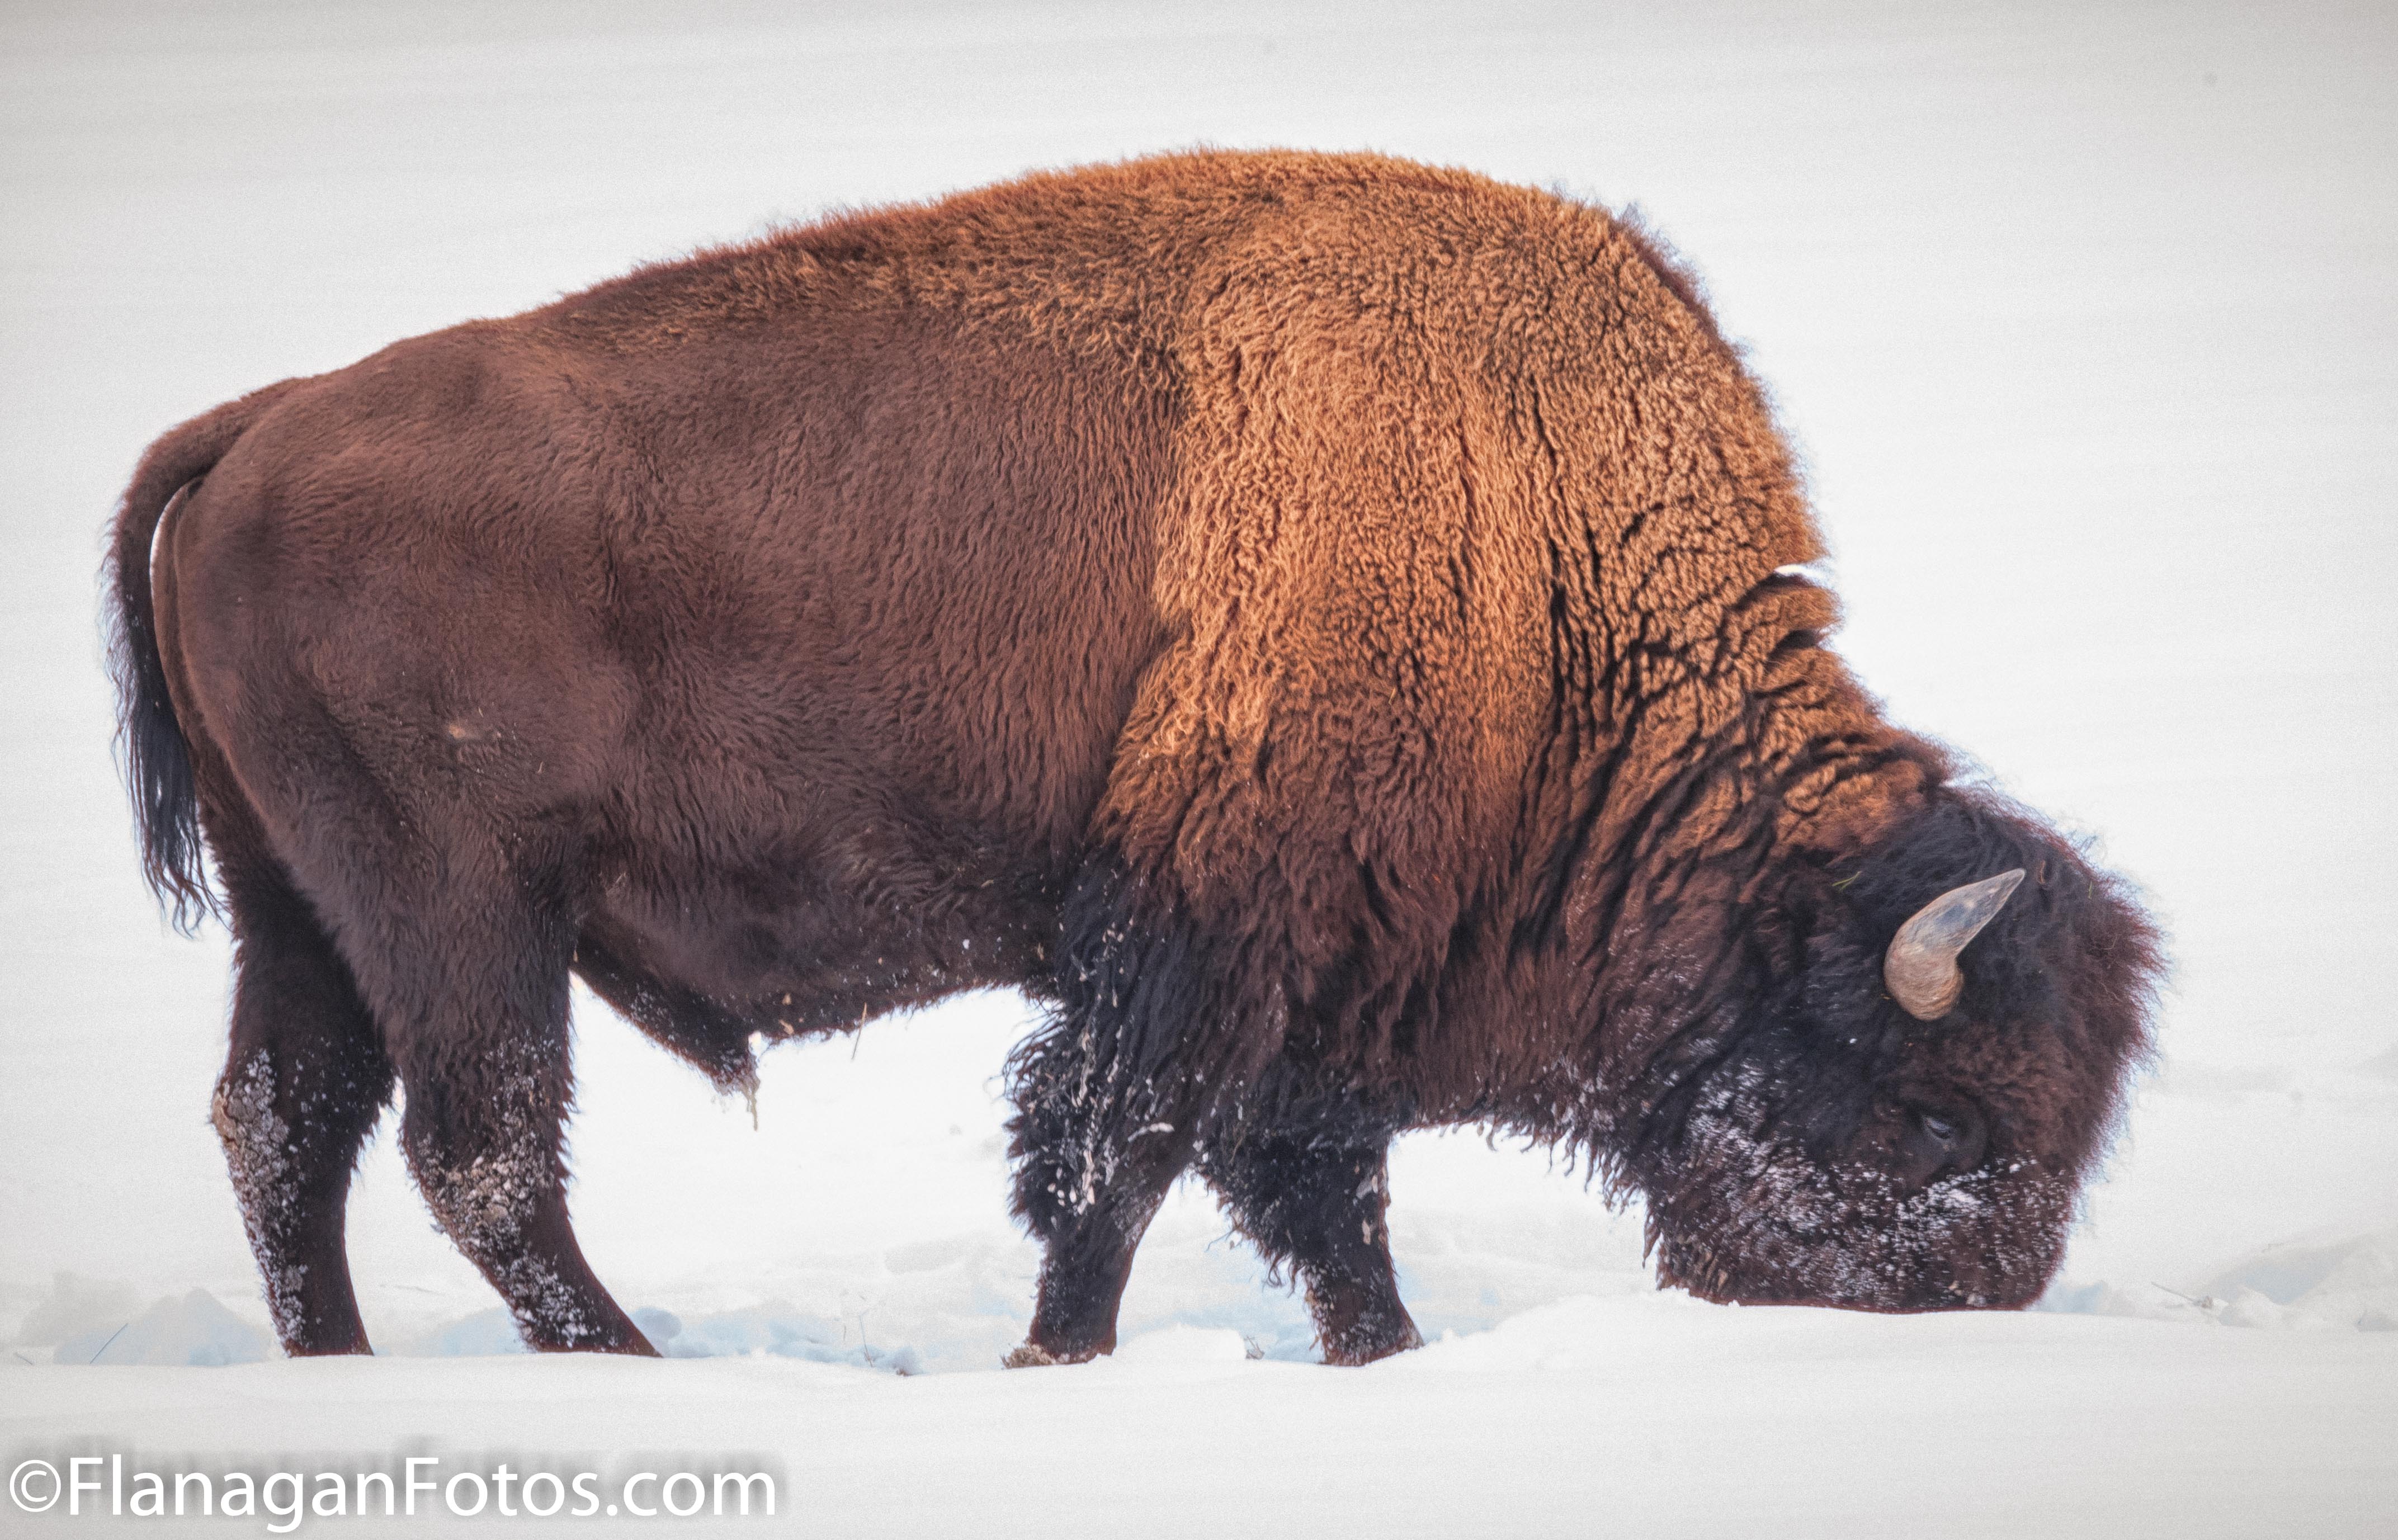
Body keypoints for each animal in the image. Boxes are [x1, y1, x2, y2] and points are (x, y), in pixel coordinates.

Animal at [108, 150, 2161, 1365]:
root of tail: (259, 425)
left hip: (308, 906)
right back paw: (628, 1368)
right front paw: (1060, 1361)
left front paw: (1379, 1356)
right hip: (458, 908)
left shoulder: (1333, 974)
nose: (1965, 1320)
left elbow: (1313, 1191)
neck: (1531, 536)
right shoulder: (1203, 931)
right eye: (1937, 1119)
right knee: (479, 1149)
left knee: (290, 1123)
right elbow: (1119, 1155)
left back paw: (341, 1369)